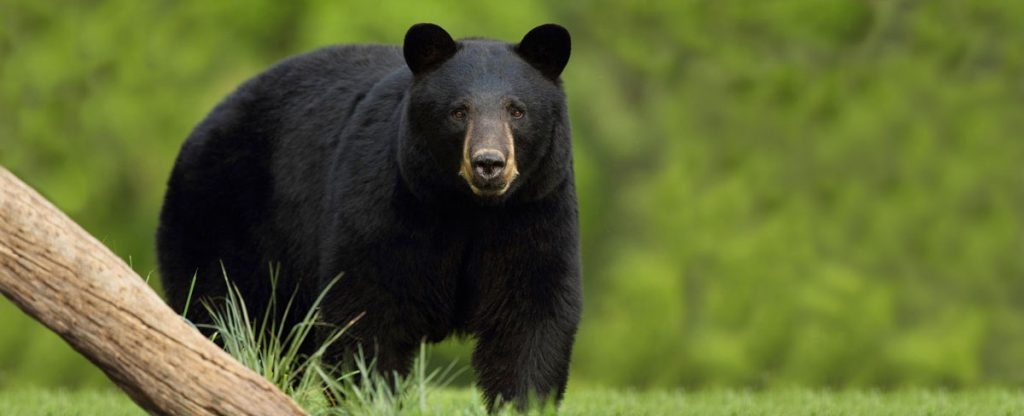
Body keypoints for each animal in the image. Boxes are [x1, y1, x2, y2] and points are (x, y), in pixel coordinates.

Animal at [156, 23, 581, 411]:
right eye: (458, 111)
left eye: (517, 110)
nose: (489, 163)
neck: (467, 208)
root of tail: (198, 129)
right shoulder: (386, 205)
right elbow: (367, 309)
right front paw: (371, 398)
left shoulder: (534, 210)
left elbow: (530, 316)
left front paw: (524, 401)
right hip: (223, 216)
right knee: (227, 313)